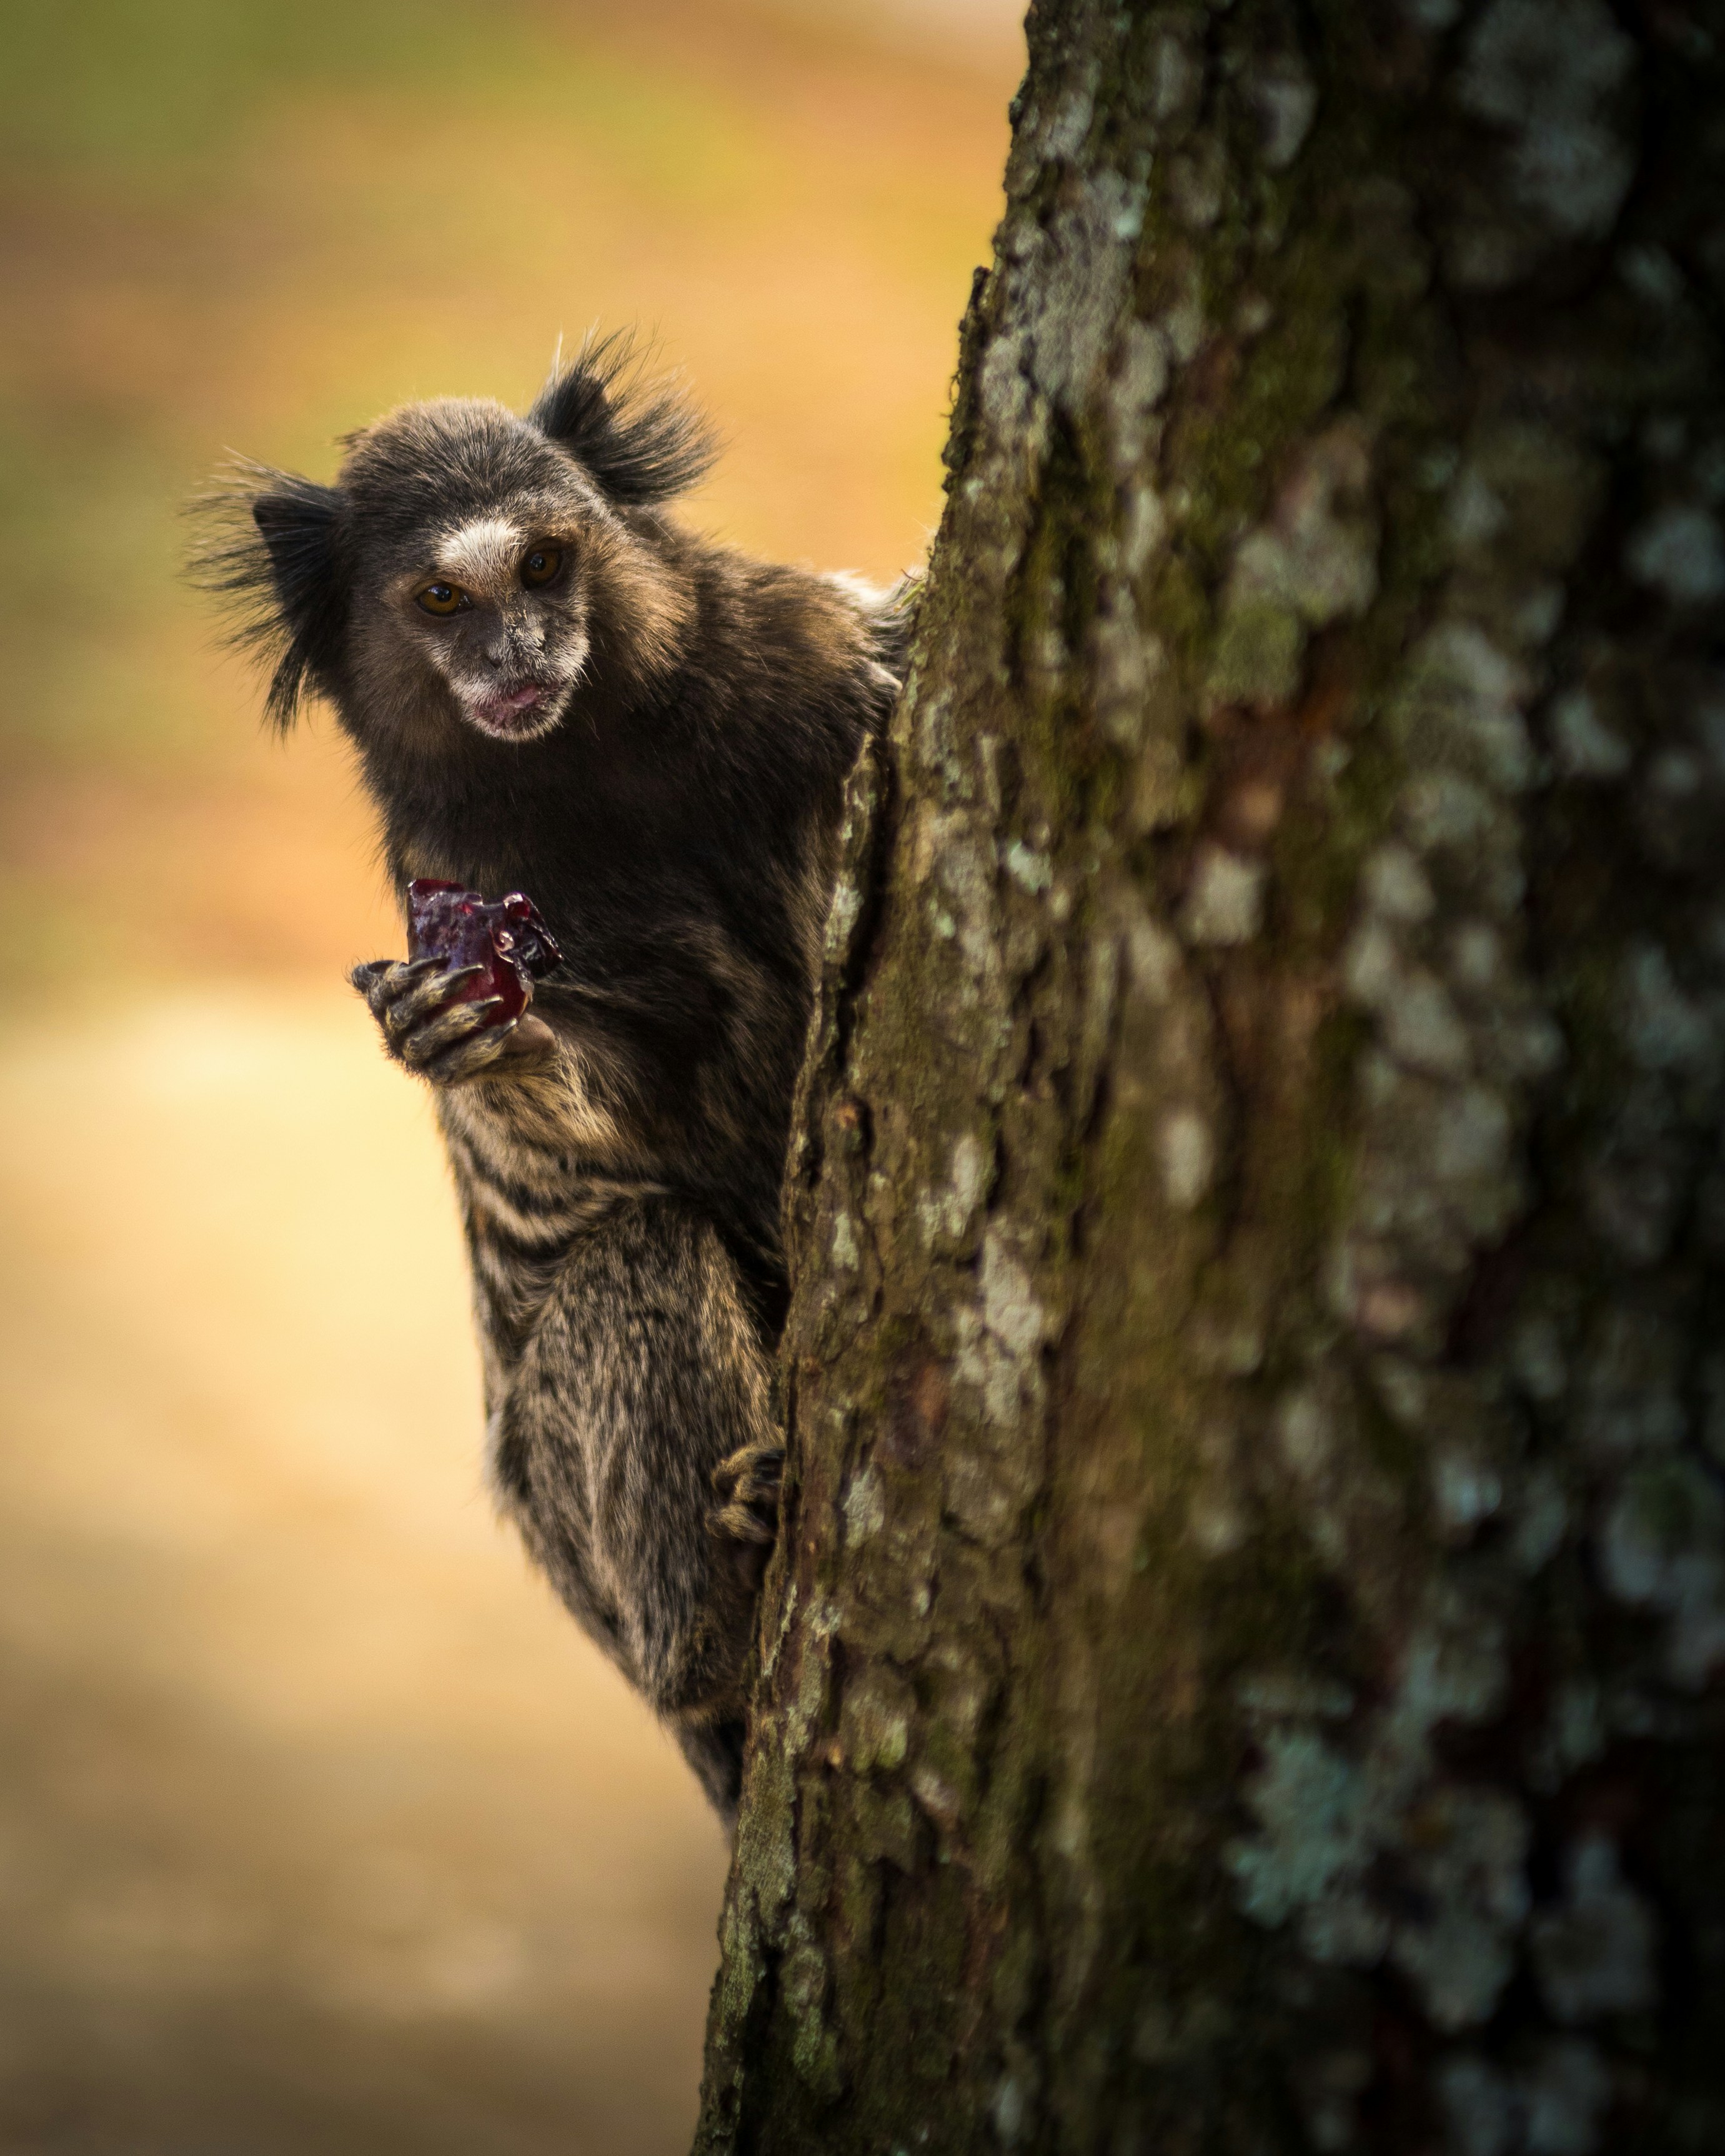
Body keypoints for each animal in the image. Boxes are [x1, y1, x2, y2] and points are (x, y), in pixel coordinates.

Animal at [194, 336, 907, 1822]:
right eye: (441, 598)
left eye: (542, 565)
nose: (518, 657)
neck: (601, 763)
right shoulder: (460, 867)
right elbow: (666, 1108)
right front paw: (496, 1048)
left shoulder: (798, 651)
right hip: (563, 1513)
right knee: (639, 1257)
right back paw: (722, 1602)